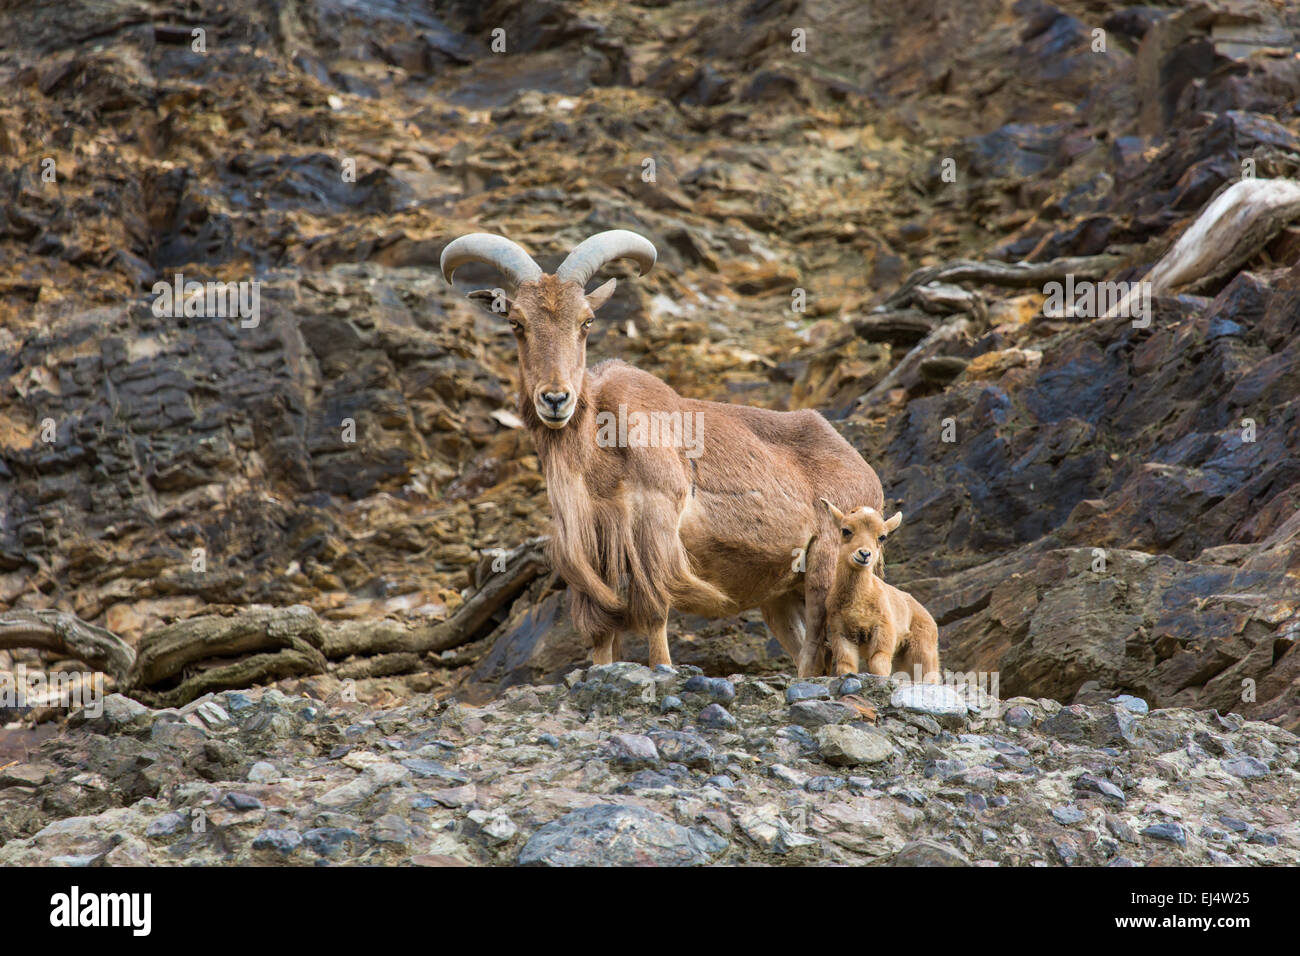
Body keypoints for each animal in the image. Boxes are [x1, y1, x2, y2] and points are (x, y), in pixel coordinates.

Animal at [441, 230, 883, 675]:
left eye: (586, 321)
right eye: (517, 323)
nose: (555, 399)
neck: (600, 451)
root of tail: (864, 471)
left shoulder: (654, 524)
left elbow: (655, 613)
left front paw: (662, 667)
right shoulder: (590, 548)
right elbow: (601, 631)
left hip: (826, 566)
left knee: (816, 646)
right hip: (780, 592)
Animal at [818, 499, 939, 681]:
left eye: (882, 536)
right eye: (846, 530)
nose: (864, 554)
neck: (858, 605)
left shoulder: (883, 629)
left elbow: (879, 663)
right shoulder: (841, 633)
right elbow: (846, 665)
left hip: (923, 649)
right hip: (902, 656)